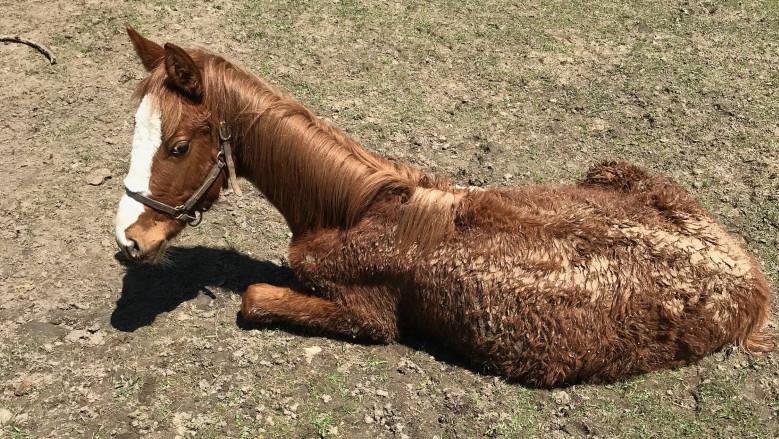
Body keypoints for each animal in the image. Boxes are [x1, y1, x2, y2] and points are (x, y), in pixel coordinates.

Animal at [114, 27, 773, 388]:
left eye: (177, 146)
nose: (130, 241)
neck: (356, 210)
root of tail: (751, 282)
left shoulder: (367, 316)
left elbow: (253, 297)